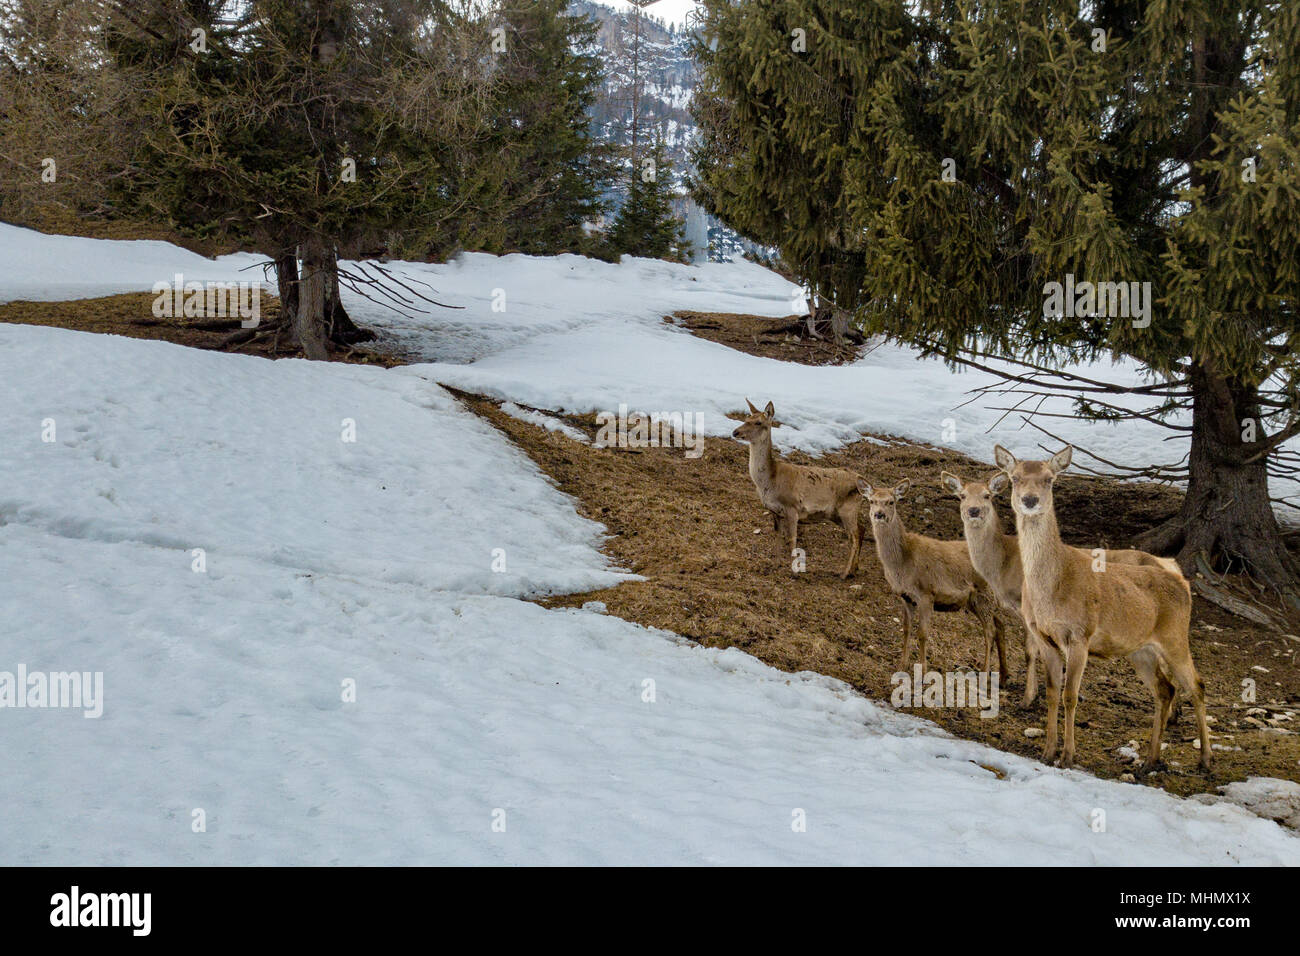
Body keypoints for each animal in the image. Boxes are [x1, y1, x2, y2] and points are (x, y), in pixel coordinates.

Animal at [731, 399, 863, 578]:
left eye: (758, 422)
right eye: (746, 418)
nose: (735, 432)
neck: (769, 483)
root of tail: (864, 483)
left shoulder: (792, 507)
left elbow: (792, 538)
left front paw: (794, 572)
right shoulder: (775, 511)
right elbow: (778, 536)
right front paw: (774, 565)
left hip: (847, 509)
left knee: (854, 536)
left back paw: (844, 573)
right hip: (837, 514)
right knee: (862, 529)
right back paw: (854, 570)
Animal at [859, 477, 1008, 681]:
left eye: (891, 501)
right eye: (871, 501)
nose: (879, 514)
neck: (901, 564)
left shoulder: (926, 593)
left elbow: (922, 633)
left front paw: (923, 672)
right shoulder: (906, 596)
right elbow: (906, 629)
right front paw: (901, 665)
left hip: (984, 594)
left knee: (990, 631)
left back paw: (985, 673)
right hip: (976, 600)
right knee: (999, 625)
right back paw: (1003, 676)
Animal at [940, 470, 1185, 709]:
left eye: (987, 495)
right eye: (962, 496)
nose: (973, 510)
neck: (1003, 566)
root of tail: (1173, 567)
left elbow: (1029, 651)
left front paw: (1028, 698)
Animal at [992, 445, 1209, 774]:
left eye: (1049, 479)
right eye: (1015, 478)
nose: (1030, 500)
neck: (1051, 589)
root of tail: (1183, 583)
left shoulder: (1080, 634)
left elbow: (1070, 696)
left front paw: (1068, 756)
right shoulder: (1044, 637)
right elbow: (1052, 694)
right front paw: (1047, 752)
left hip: (1175, 636)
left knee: (1196, 685)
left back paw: (1206, 759)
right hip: (1141, 650)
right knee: (1165, 689)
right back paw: (1150, 760)